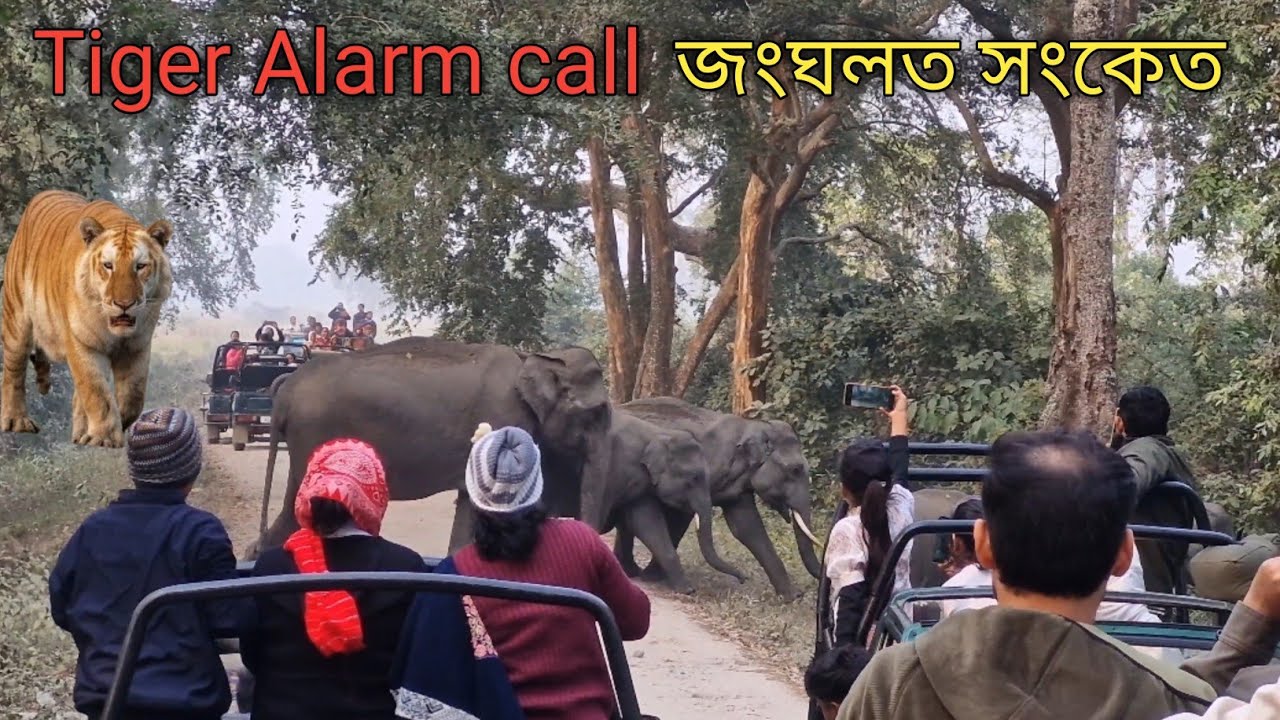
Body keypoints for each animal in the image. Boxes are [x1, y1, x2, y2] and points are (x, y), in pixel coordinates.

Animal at [1, 190, 174, 448]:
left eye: (140, 266)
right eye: (108, 266)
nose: (124, 304)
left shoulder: (138, 346)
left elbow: (133, 397)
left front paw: (99, 432)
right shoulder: (82, 344)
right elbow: (97, 394)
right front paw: (103, 438)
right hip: (16, 320)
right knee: (13, 371)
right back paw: (16, 422)